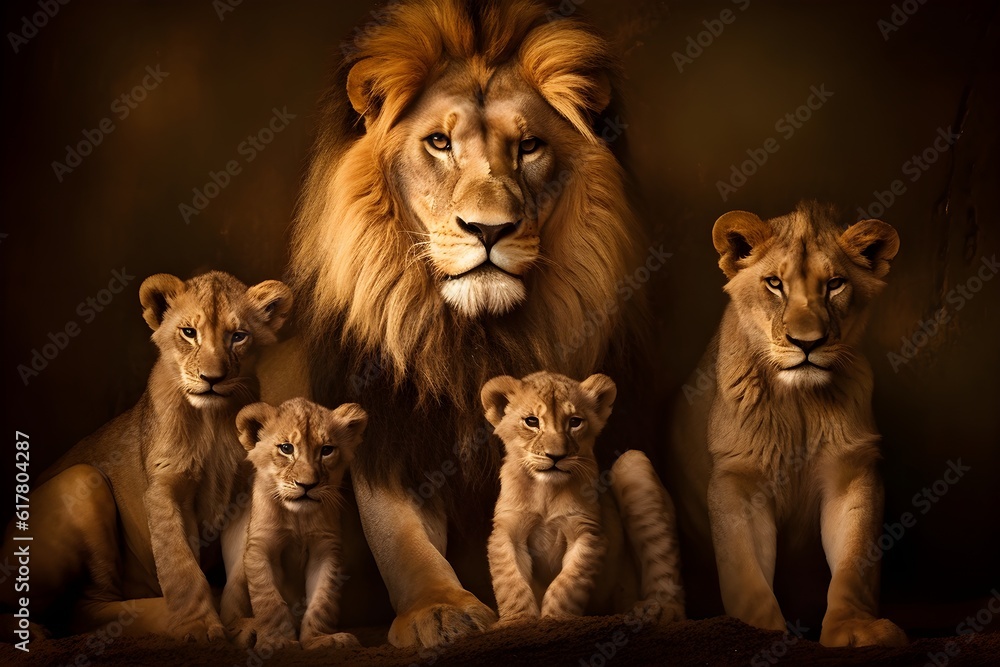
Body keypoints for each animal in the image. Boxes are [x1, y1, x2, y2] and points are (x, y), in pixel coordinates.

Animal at [0, 271, 292, 641]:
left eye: (238, 336)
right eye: (189, 332)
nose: (212, 379)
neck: (212, 419)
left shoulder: (244, 497)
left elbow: (241, 573)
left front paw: (241, 624)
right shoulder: (164, 487)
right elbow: (180, 564)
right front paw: (198, 626)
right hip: (82, 478)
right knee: (84, 610)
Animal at [220, 398, 367, 651]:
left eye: (326, 450)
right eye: (286, 448)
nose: (307, 485)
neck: (298, 518)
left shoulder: (326, 550)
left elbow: (322, 600)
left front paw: (319, 640)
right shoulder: (260, 547)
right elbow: (269, 600)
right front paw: (277, 641)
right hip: (237, 571)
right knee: (229, 613)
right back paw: (247, 630)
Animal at [259, 0, 655, 648]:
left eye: (529, 146)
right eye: (439, 143)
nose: (488, 229)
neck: (478, 335)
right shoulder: (393, 434)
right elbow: (402, 539)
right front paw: (439, 611)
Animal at [483, 372, 684, 624]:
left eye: (575, 422)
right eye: (531, 421)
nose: (556, 456)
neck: (546, 490)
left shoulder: (586, 532)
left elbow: (567, 585)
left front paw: (555, 620)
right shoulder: (508, 531)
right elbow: (511, 582)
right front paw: (517, 622)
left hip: (633, 462)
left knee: (663, 563)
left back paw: (658, 609)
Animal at [666, 202, 907, 647]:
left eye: (835, 284)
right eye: (774, 284)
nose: (807, 342)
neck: (799, 403)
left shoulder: (852, 471)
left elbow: (855, 561)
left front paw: (854, 629)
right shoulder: (737, 478)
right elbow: (744, 572)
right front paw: (755, 634)